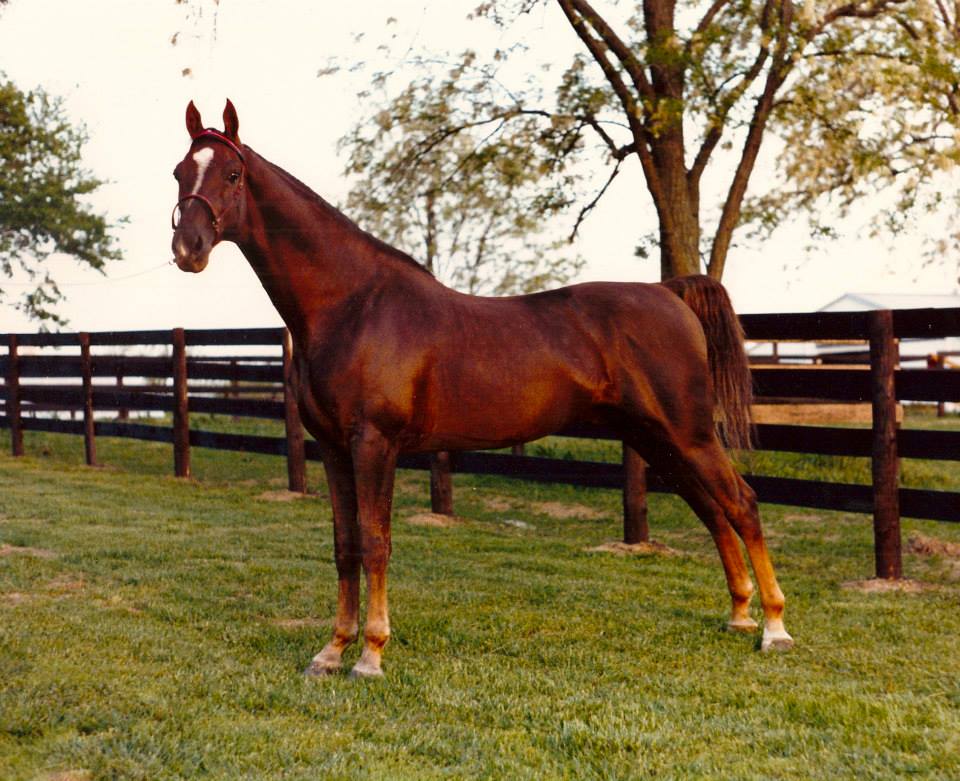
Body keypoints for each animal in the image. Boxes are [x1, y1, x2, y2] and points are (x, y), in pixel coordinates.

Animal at [171, 100, 793, 678]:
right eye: (179, 171)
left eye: (233, 174)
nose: (188, 248)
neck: (352, 304)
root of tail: (670, 292)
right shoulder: (331, 446)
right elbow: (345, 545)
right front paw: (331, 651)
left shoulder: (373, 444)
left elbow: (375, 543)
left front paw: (370, 655)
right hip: (656, 441)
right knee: (714, 511)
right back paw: (740, 615)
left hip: (689, 434)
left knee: (742, 504)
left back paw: (774, 630)